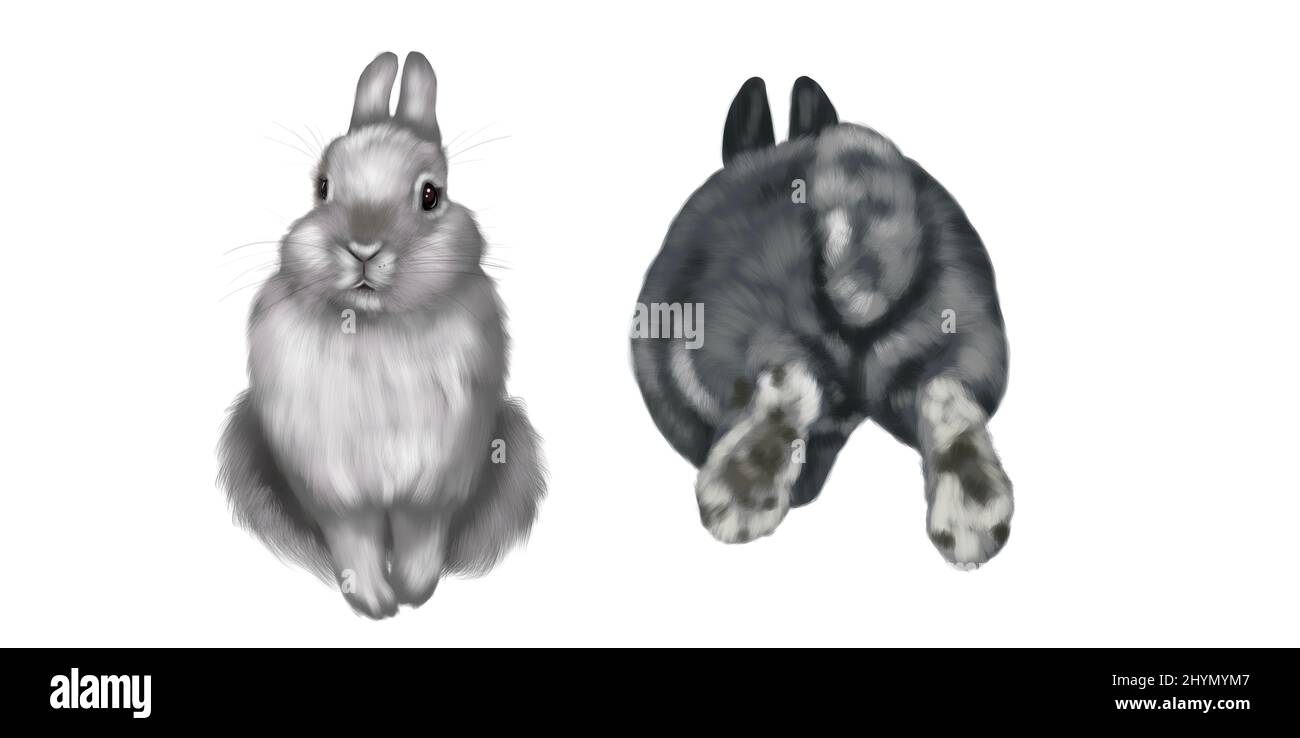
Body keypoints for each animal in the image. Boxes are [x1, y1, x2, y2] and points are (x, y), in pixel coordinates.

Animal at [218, 51, 546, 618]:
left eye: (431, 196)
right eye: (322, 188)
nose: (363, 248)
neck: (374, 325)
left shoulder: (435, 485)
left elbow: (421, 536)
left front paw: (415, 592)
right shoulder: (336, 490)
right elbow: (355, 542)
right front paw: (374, 603)